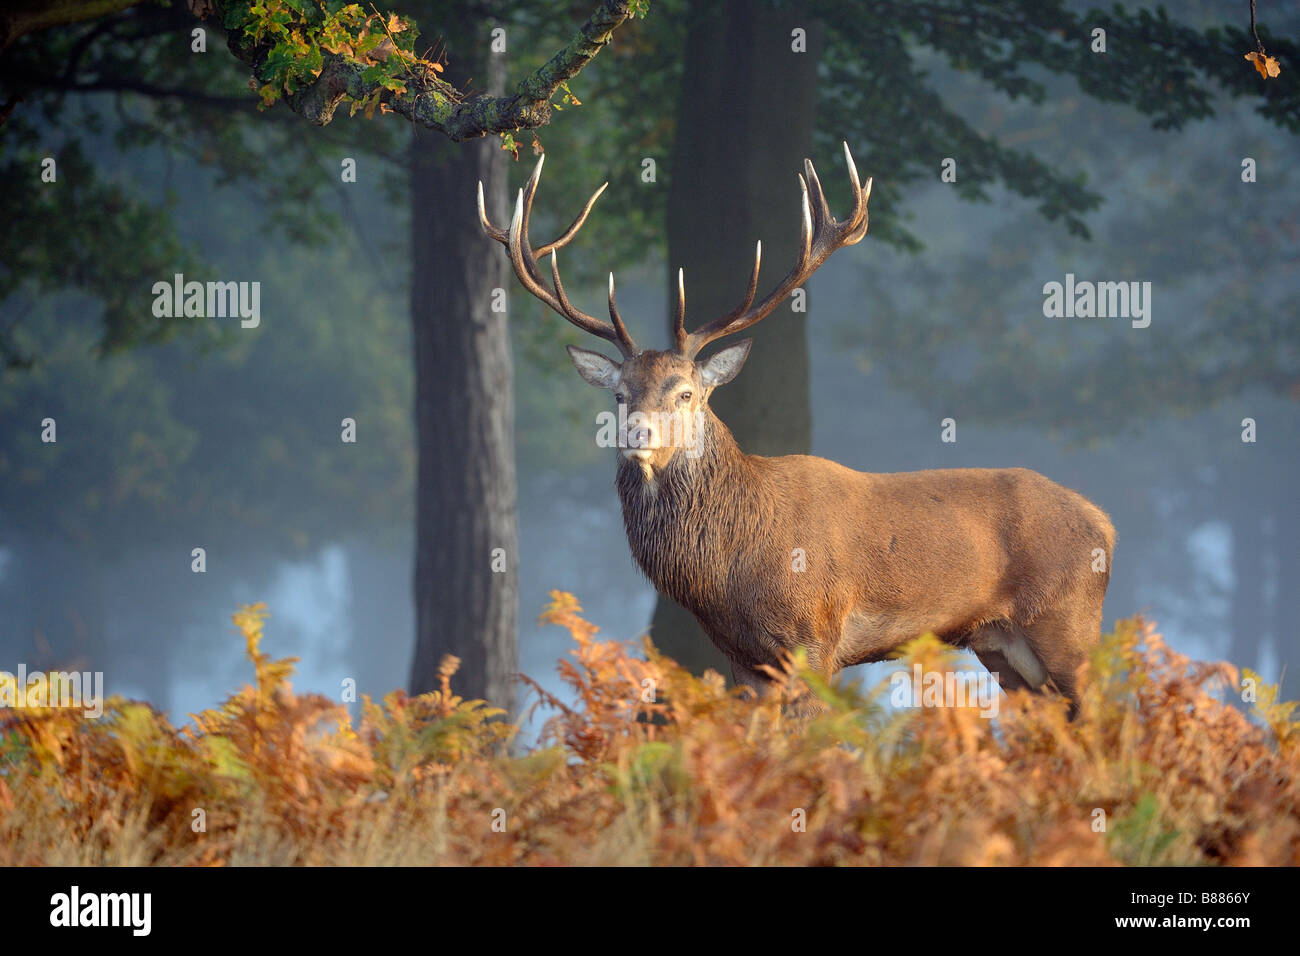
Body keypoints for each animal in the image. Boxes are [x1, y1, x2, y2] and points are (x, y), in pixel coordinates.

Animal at [477, 144, 1116, 714]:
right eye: (619, 393)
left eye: (686, 392)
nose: (636, 436)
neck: (731, 569)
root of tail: (1105, 523)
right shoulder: (744, 659)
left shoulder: (817, 636)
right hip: (1004, 650)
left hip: (1069, 628)